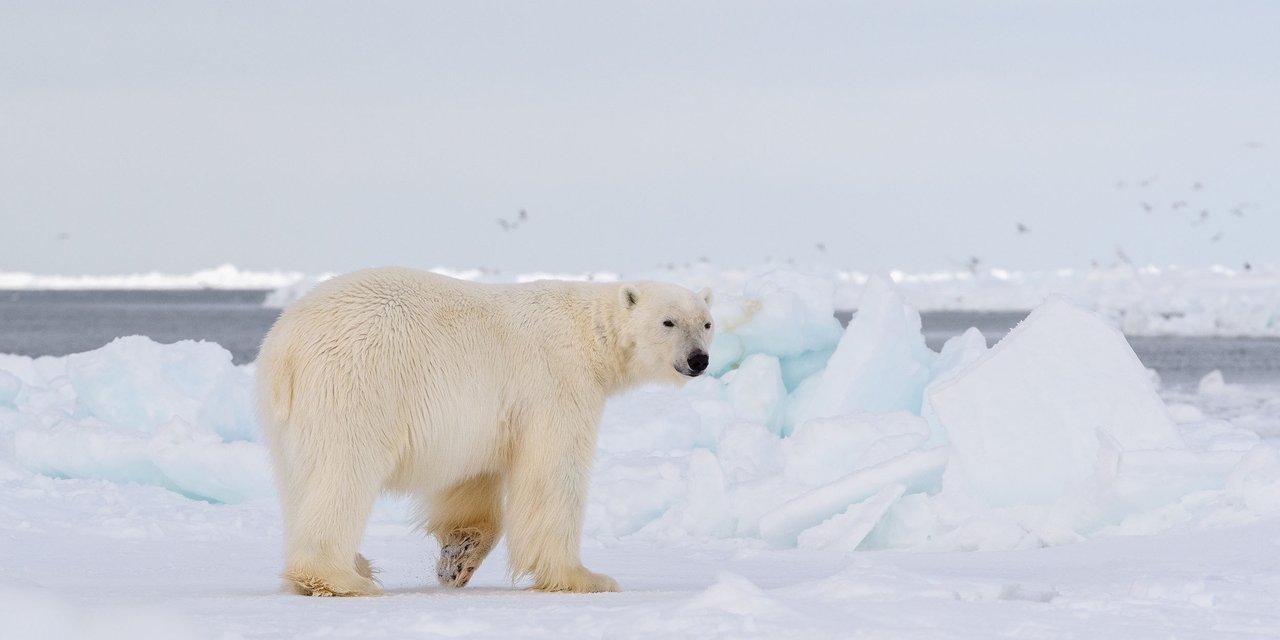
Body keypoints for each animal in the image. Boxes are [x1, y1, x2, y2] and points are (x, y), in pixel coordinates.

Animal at [256, 267, 714, 596]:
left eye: (706, 323)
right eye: (668, 322)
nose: (699, 359)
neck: (590, 334)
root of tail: (285, 346)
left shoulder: (489, 413)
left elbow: (472, 477)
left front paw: (458, 558)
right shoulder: (555, 383)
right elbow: (552, 474)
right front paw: (585, 577)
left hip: (286, 420)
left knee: (300, 482)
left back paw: (354, 565)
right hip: (357, 382)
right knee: (344, 471)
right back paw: (342, 578)